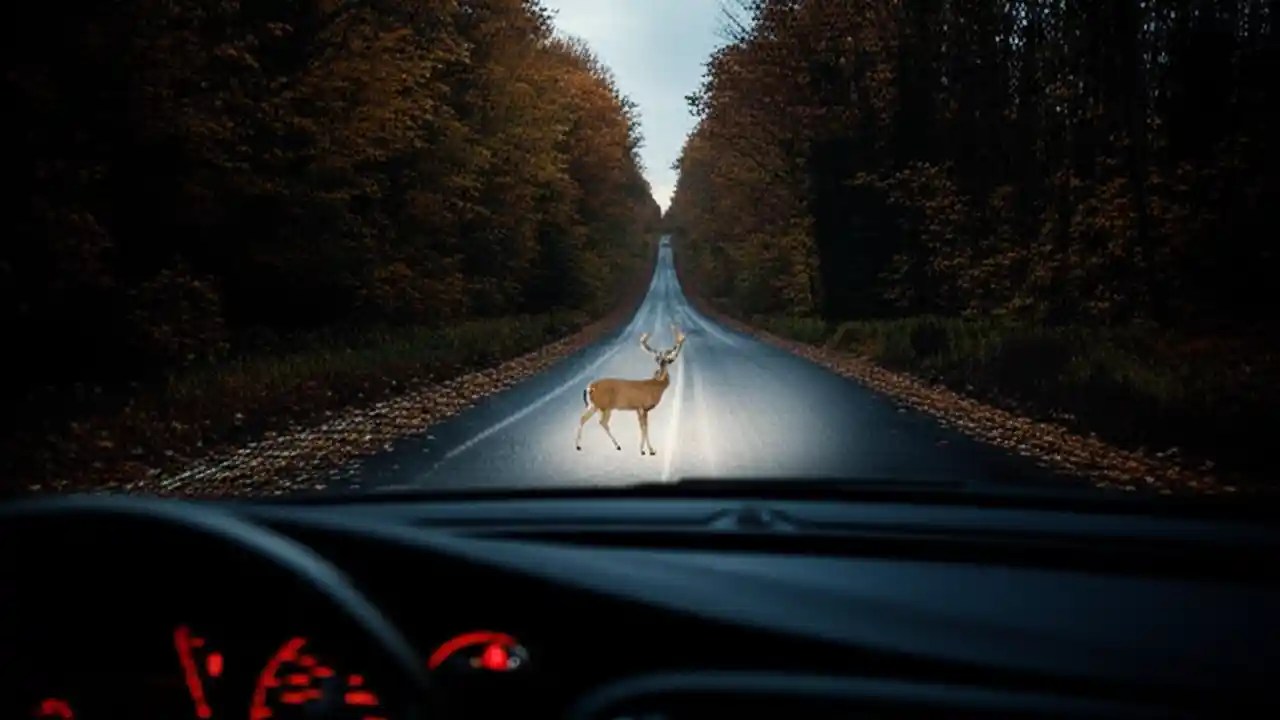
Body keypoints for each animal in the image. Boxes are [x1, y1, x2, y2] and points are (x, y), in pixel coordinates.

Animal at [576, 325, 687, 455]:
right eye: (658, 360)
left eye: (667, 361)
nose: (659, 373)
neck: (655, 386)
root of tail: (590, 387)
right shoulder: (642, 407)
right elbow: (644, 428)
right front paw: (647, 450)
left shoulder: (639, 409)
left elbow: (644, 427)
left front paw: (646, 449)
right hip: (605, 406)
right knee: (602, 422)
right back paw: (617, 445)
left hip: (594, 405)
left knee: (583, 419)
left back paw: (578, 446)